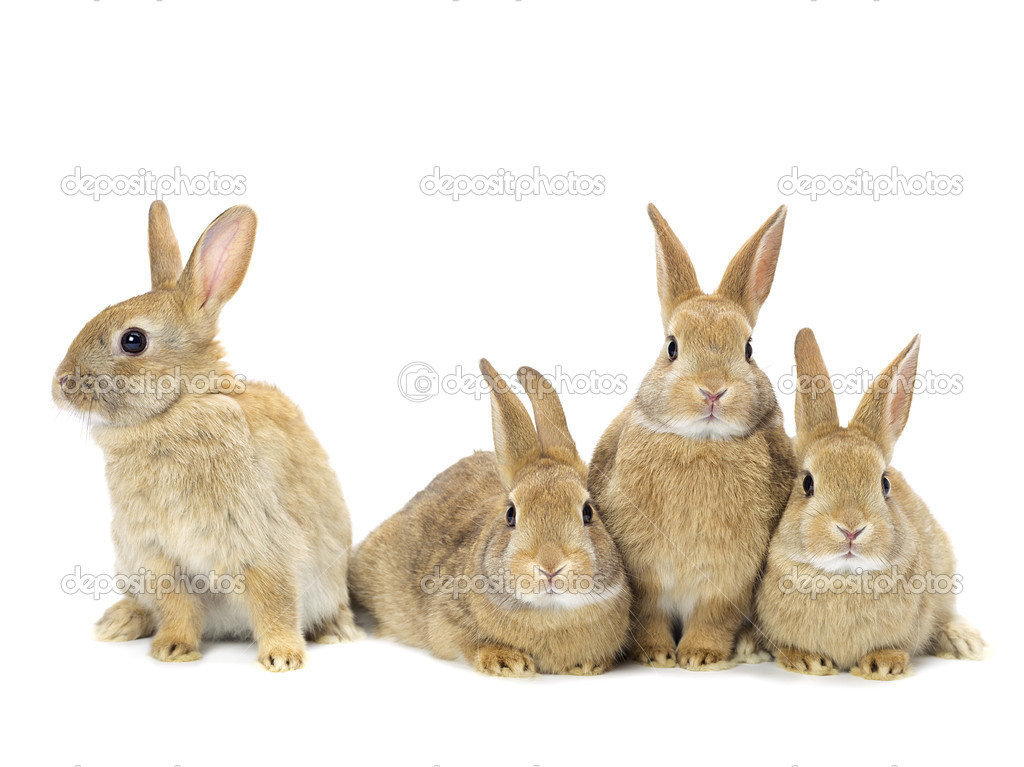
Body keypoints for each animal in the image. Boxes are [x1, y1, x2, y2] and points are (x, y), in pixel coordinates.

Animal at [52, 201, 360, 672]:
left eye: (133, 340)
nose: (61, 384)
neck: (173, 409)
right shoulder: (158, 557)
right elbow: (177, 606)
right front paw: (173, 650)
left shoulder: (262, 544)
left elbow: (274, 603)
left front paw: (282, 658)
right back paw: (119, 622)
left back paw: (337, 630)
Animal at [349, 361, 631, 676]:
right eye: (511, 514)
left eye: (588, 512)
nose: (550, 567)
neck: (550, 611)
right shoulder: (447, 622)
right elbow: (468, 642)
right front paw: (508, 662)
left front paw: (586, 665)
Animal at [588, 204, 797, 671]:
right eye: (671, 347)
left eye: (748, 349)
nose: (713, 390)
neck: (700, 442)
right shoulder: (646, 580)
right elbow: (649, 616)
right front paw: (656, 656)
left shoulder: (729, 583)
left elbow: (713, 618)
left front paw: (701, 656)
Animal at [753, 329, 984, 679]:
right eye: (807, 483)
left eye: (884, 483)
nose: (851, 529)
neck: (844, 577)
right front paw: (807, 661)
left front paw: (882, 665)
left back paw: (965, 642)